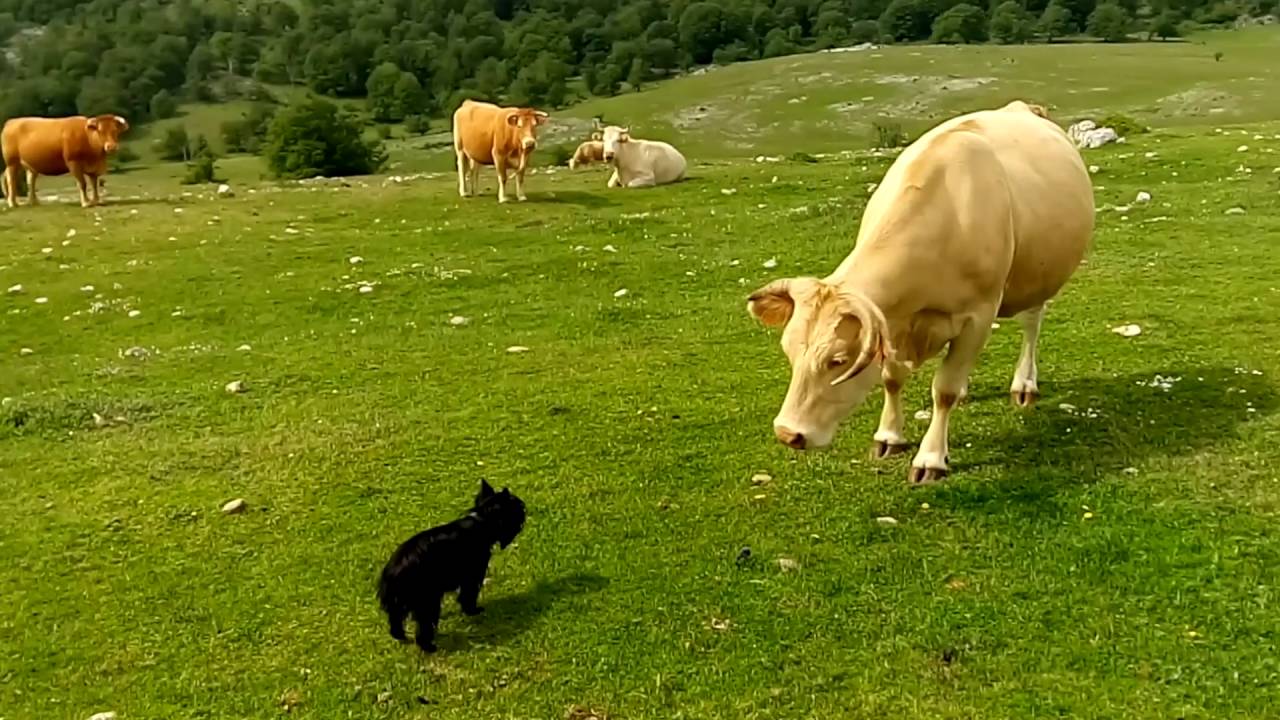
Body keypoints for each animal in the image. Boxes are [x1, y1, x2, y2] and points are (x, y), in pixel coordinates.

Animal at [746, 101, 1094, 485]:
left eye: (837, 360)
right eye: (789, 352)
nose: (787, 433)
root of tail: (1021, 106)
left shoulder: (979, 315)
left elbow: (944, 390)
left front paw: (931, 458)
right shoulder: (893, 324)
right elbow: (892, 379)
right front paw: (888, 436)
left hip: (1038, 275)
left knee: (1031, 325)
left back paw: (1024, 385)